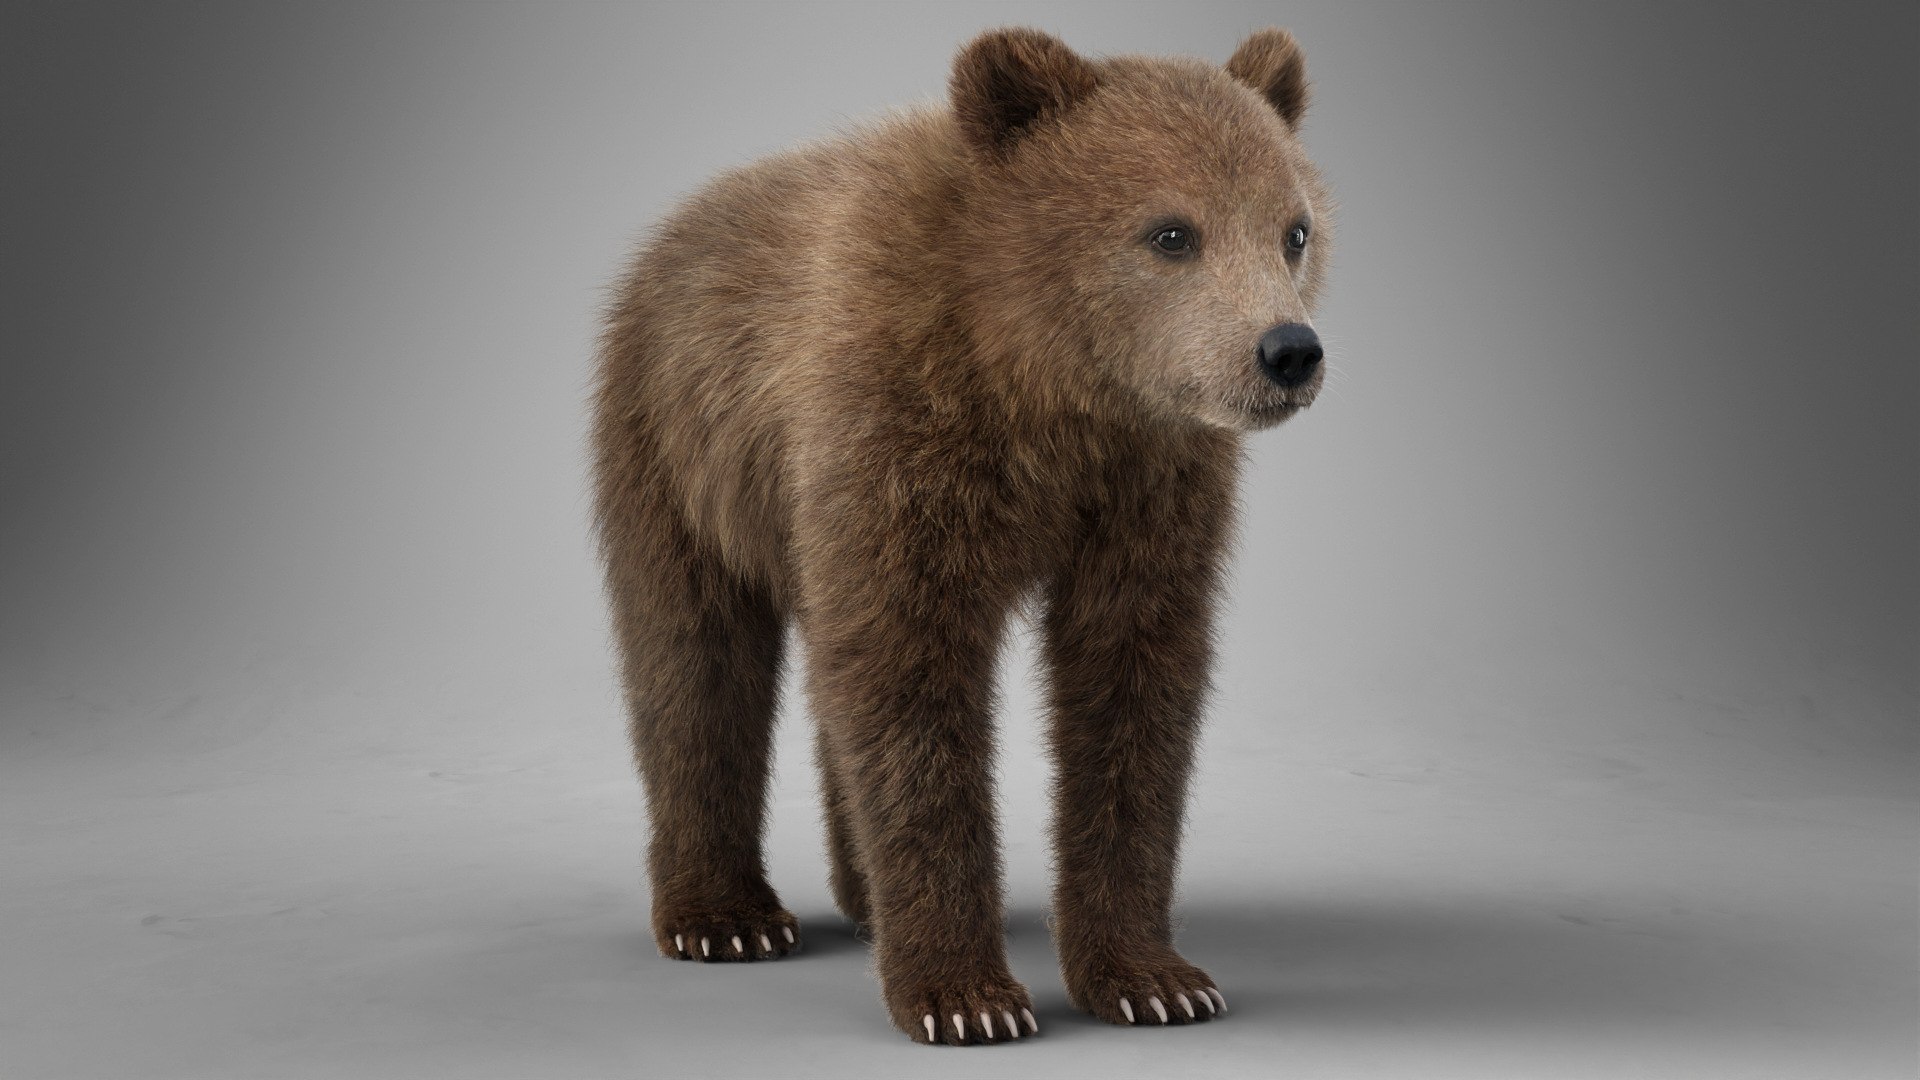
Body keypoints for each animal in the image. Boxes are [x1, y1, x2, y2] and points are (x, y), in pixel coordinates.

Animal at [589, 26, 1332, 1045]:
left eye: (1293, 229)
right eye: (1172, 232)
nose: (1288, 351)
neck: (1044, 381)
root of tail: (666, 232)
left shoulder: (1148, 487)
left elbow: (1134, 685)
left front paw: (1154, 979)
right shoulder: (899, 434)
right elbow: (913, 688)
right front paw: (965, 997)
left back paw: (858, 897)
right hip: (678, 451)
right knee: (696, 666)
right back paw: (726, 918)